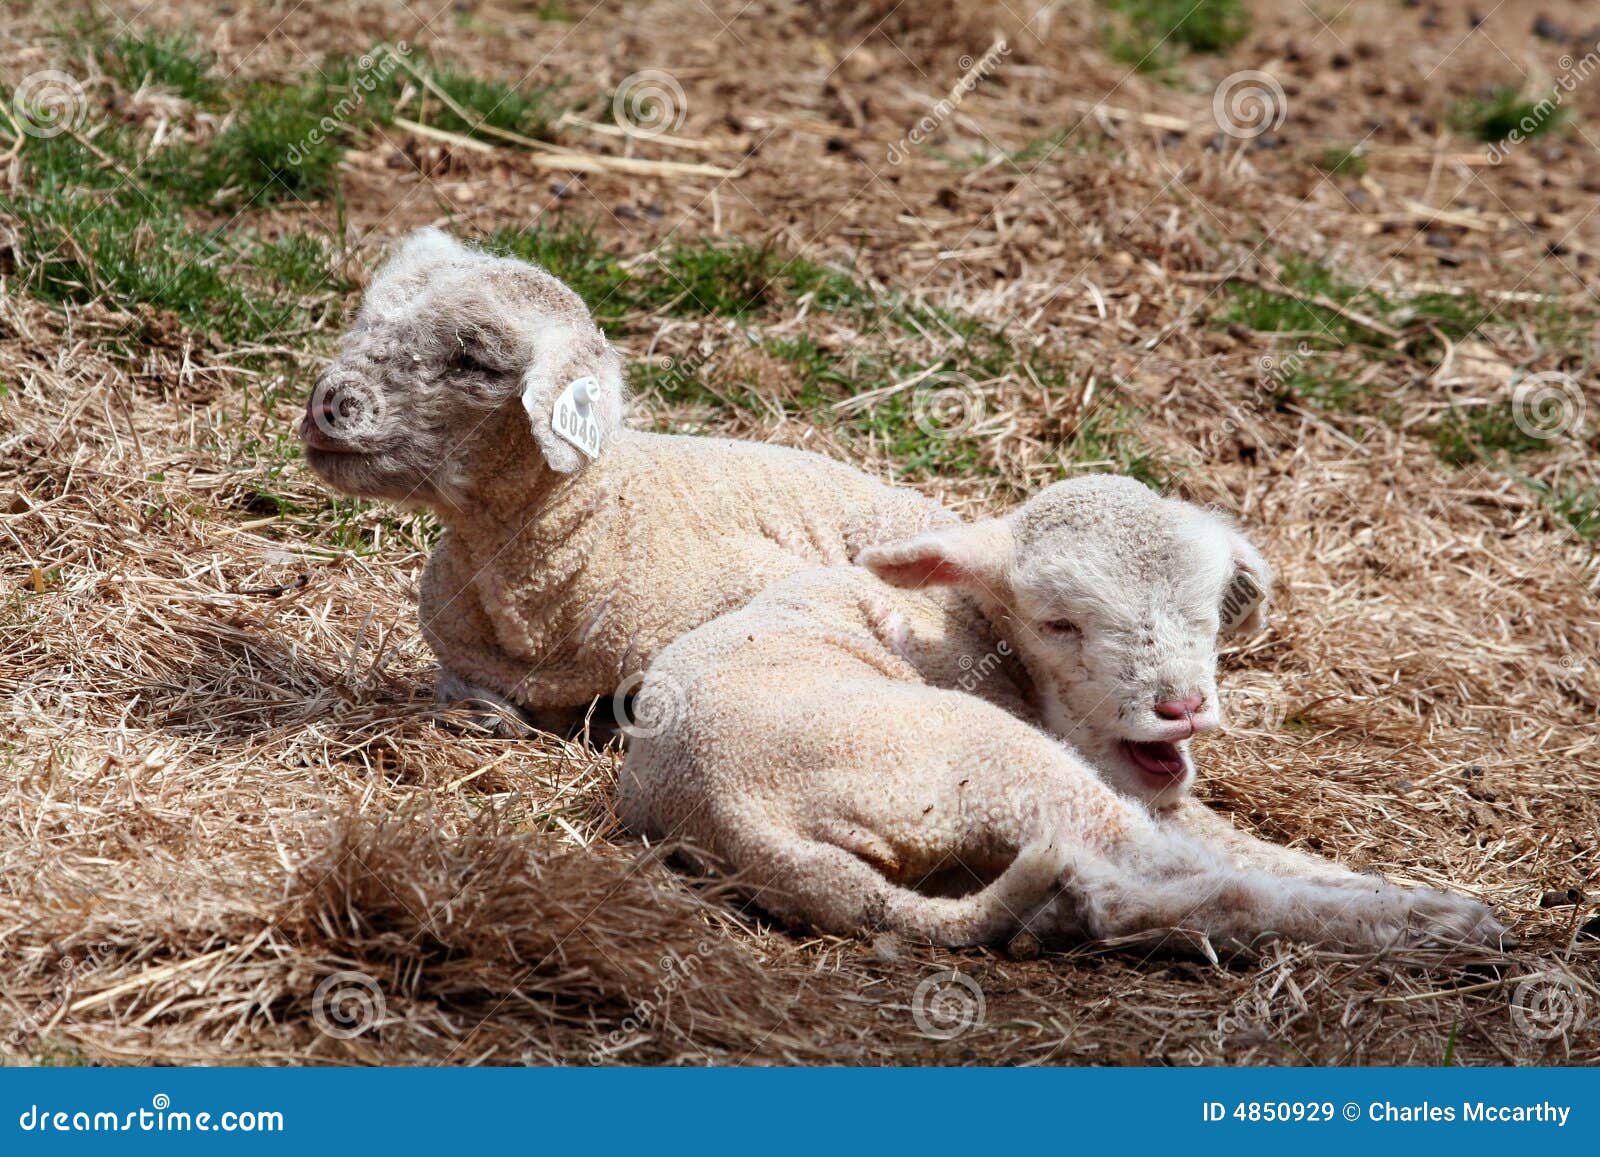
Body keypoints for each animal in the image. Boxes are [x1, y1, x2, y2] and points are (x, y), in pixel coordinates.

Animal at [618, 475, 1507, 954]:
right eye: (1059, 623)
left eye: (1210, 612)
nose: (1181, 707)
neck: (975, 625)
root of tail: (739, 821)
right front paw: (1407, 900)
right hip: (975, 756)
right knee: (1152, 876)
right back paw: (1437, 924)